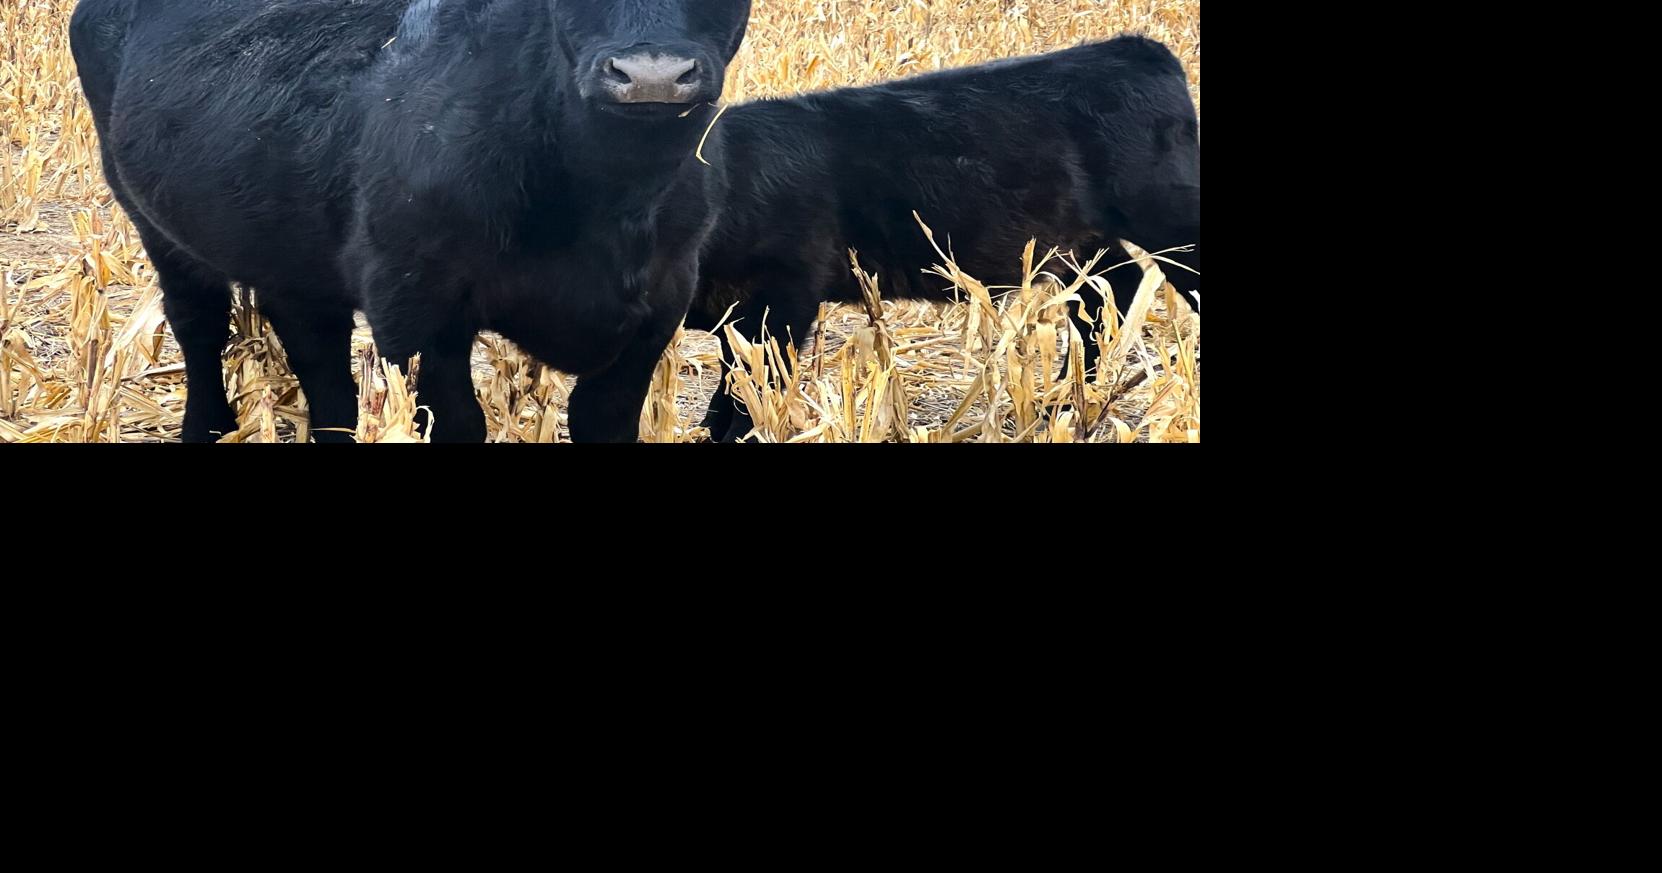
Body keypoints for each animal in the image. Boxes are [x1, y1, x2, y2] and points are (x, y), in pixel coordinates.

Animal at [70, 0, 752, 442]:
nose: (651, 76)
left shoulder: (660, 304)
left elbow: (605, 420)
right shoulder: (413, 305)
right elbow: (452, 424)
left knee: (318, 357)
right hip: (152, 220)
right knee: (199, 327)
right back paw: (206, 428)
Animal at [685, 35, 1200, 442]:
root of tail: (1134, 48)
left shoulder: (783, 299)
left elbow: (753, 389)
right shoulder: (735, 314)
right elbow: (731, 384)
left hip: (1170, 226)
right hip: (1084, 247)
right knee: (1106, 304)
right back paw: (1064, 404)